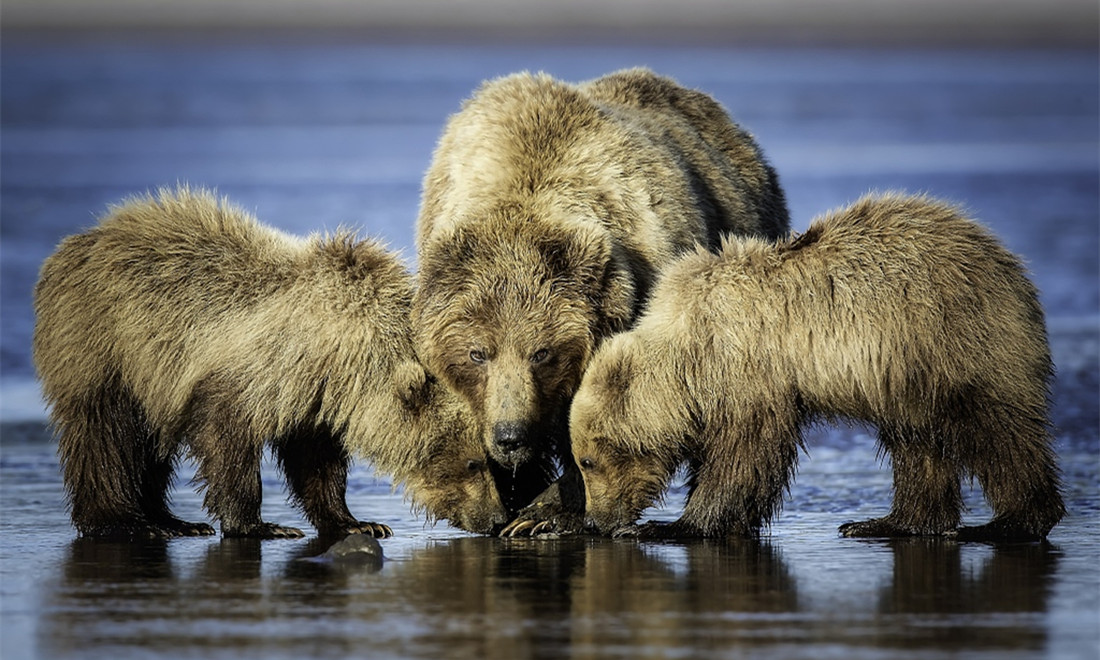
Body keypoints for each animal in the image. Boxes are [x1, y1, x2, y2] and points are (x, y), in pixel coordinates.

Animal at [33, 187, 507, 540]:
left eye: (492, 461)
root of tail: (73, 244)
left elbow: (316, 461)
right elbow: (226, 435)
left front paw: (358, 522)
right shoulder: (263, 366)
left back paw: (175, 521)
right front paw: (261, 525)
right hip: (107, 345)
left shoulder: (313, 394)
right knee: (109, 435)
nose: (497, 518)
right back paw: (126, 522)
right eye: (473, 463)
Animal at [570, 192, 1065, 542]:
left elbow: (744, 453)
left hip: (955, 342)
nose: (595, 522)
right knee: (919, 442)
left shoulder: (749, 366)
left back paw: (1008, 523)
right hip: (909, 377)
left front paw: (675, 525)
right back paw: (886, 522)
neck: (690, 352)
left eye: (586, 460)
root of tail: (1011, 266)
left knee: (997, 431)